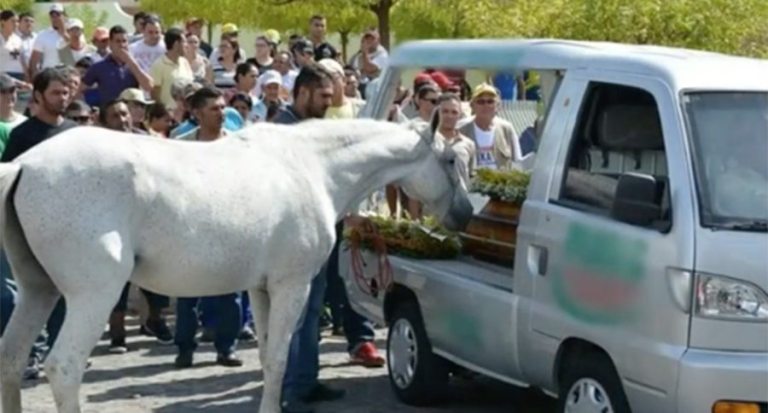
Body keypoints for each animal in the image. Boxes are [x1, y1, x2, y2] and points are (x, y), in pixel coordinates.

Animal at [0, 118, 474, 413]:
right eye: (451, 160)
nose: (465, 214)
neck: (311, 167)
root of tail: (24, 164)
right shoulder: (290, 286)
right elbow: (280, 359)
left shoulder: (260, 289)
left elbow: (265, 356)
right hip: (92, 298)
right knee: (63, 368)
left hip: (38, 291)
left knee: (11, 358)